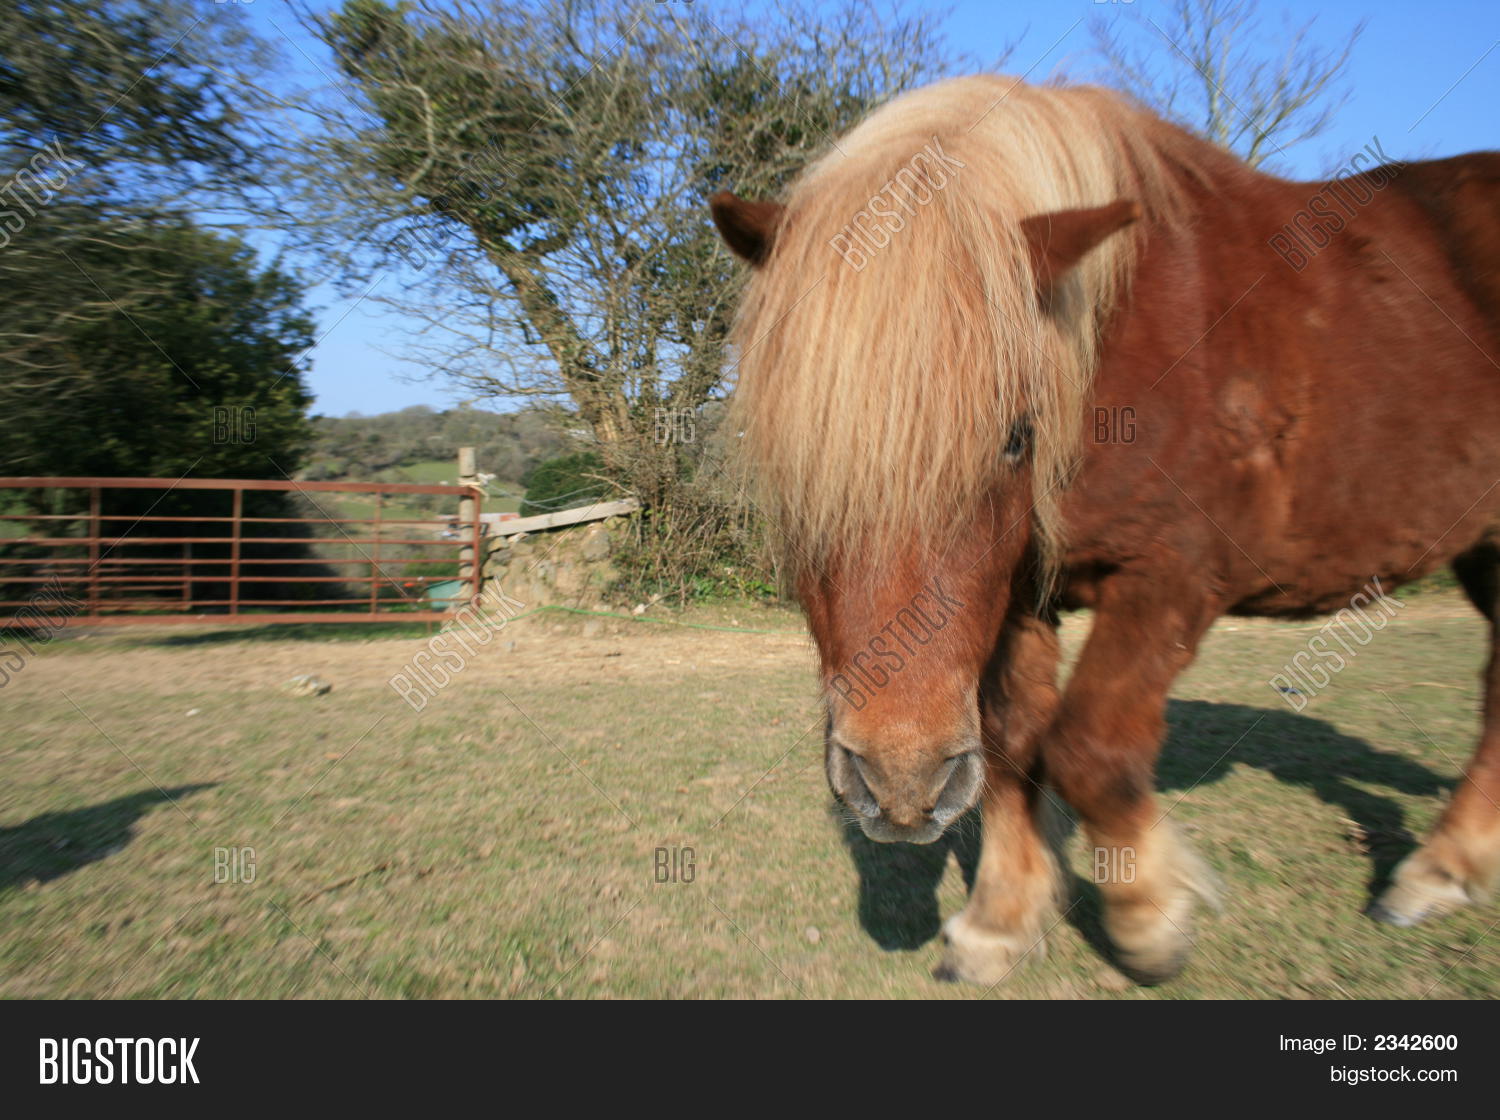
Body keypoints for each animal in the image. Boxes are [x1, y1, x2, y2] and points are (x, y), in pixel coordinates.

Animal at [708, 74, 1500, 985]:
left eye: (1016, 437)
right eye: (790, 452)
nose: (901, 788)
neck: (1113, 350)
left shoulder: (1171, 576)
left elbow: (1088, 747)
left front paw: (1150, 914)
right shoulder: (1018, 594)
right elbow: (1014, 744)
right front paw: (1000, 922)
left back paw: (1436, 869)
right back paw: (1450, 868)